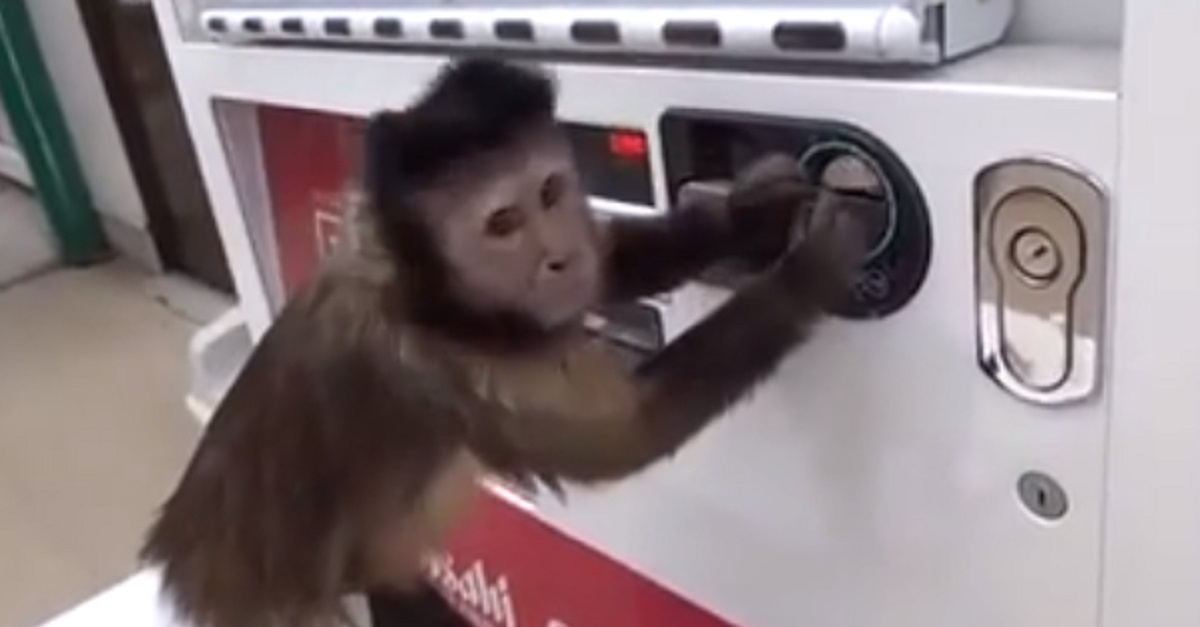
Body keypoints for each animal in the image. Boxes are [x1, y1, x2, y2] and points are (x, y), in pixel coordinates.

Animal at [139, 56, 874, 627]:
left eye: (549, 191)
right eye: (502, 223)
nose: (558, 259)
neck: (432, 292)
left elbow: (608, 266)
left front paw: (750, 216)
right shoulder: (444, 363)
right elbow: (625, 436)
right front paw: (806, 275)